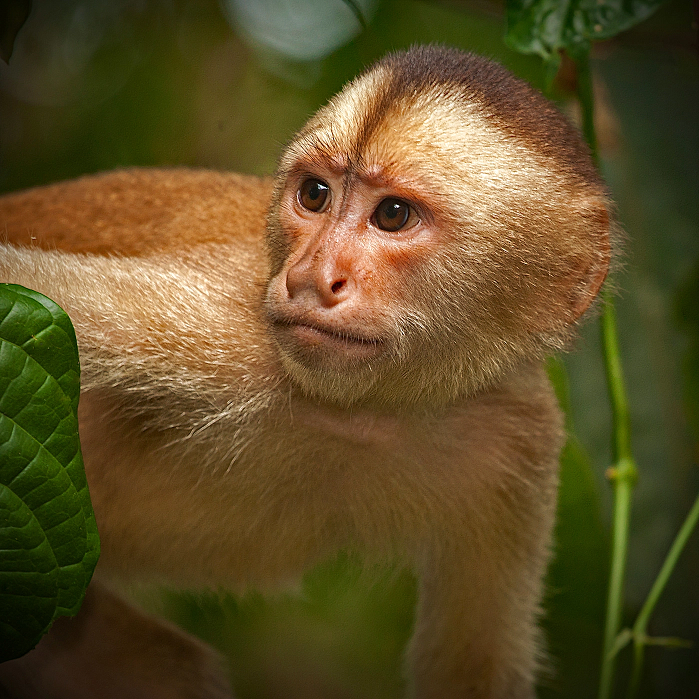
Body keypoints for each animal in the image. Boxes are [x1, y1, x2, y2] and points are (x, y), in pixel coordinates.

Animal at [0, 46, 612, 698]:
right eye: (315, 195)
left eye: (393, 214)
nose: (310, 278)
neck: (365, 410)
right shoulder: (224, 330)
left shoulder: (519, 435)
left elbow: (470, 670)